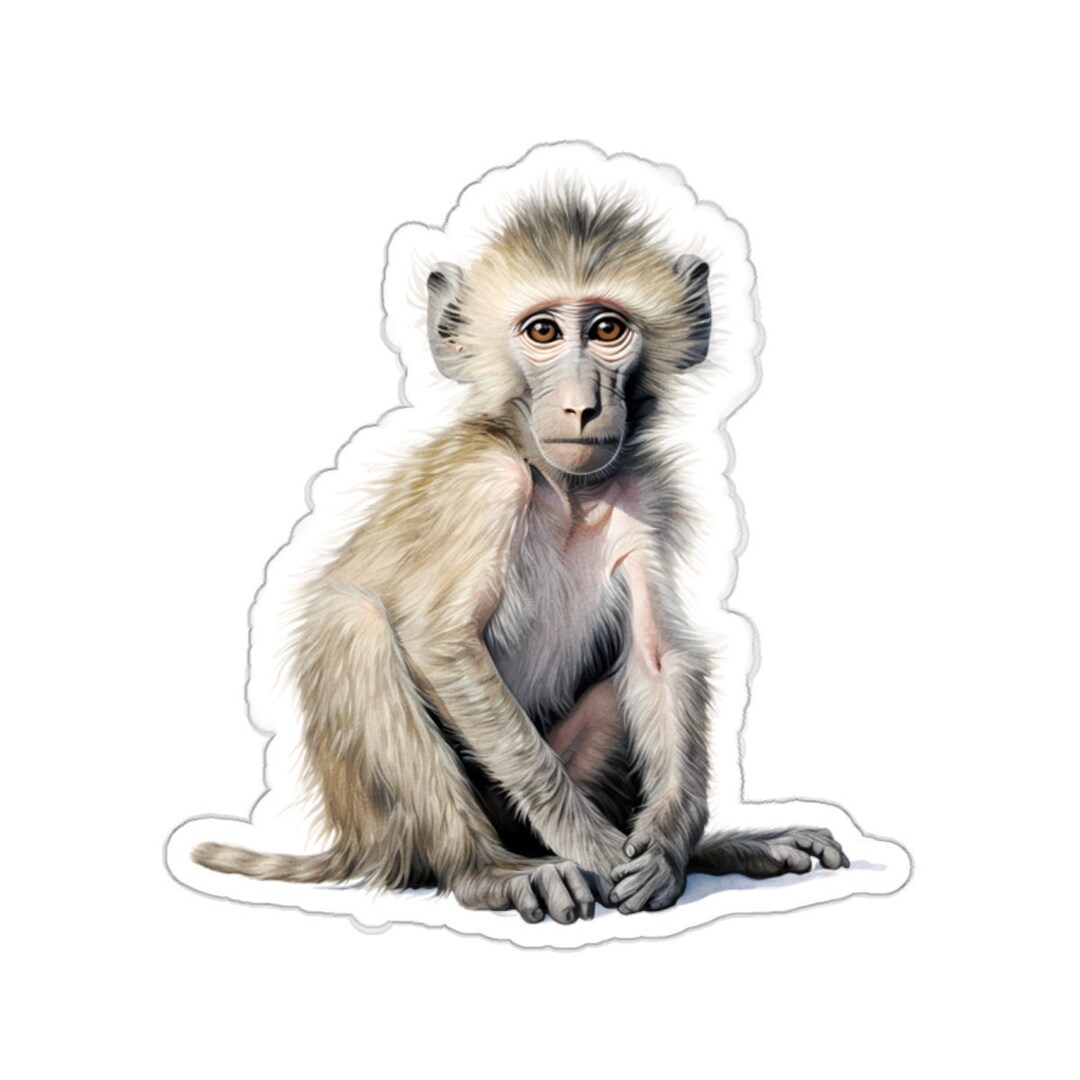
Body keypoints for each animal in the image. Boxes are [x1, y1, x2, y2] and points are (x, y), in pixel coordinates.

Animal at [192, 191, 848, 923]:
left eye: (608, 329)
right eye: (542, 333)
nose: (583, 406)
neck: (566, 492)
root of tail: (356, 842)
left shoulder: (640, 495)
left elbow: (656, 658)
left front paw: (665, 850)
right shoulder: (486, 483)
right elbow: (440, 641)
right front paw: (595, 847)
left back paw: (724, 847)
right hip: (401, 818)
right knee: (355, 628)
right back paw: (489, 872)